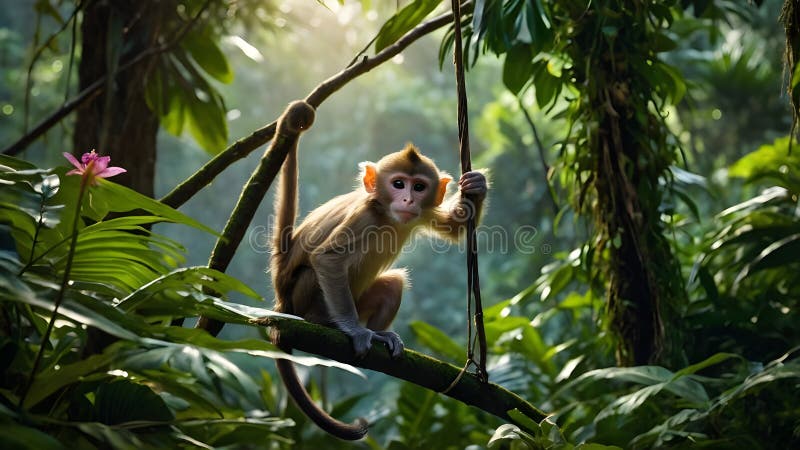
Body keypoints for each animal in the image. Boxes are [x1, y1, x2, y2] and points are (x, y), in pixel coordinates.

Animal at [269, 103, 488, 440]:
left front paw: (477, 187)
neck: (386, 215)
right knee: (317, 273)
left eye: (419, 186)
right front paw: (356, 331)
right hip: (304, 295)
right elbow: (328, 258)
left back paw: (381, 333)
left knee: (394, 283)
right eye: (398, 184)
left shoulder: (419, 213)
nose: (408, 198)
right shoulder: (364, 217)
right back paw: (328, 322)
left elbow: (456, 226)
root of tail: (282, 295)